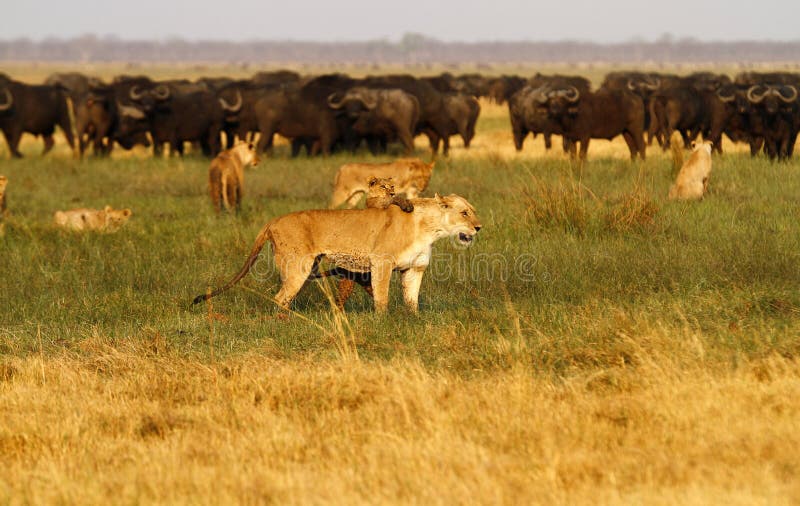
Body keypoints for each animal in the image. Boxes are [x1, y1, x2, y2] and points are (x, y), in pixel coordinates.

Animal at [193, 194, 481, 313]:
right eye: (464, 212)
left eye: (472, 211)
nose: (479, 227)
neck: (432, 228)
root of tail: (273, 220)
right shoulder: (381, 262)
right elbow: (382, 298)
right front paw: (383, 321)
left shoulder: (414, 268)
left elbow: (412, 299)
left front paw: (414, 319)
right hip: (298, 267)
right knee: (280, 298)